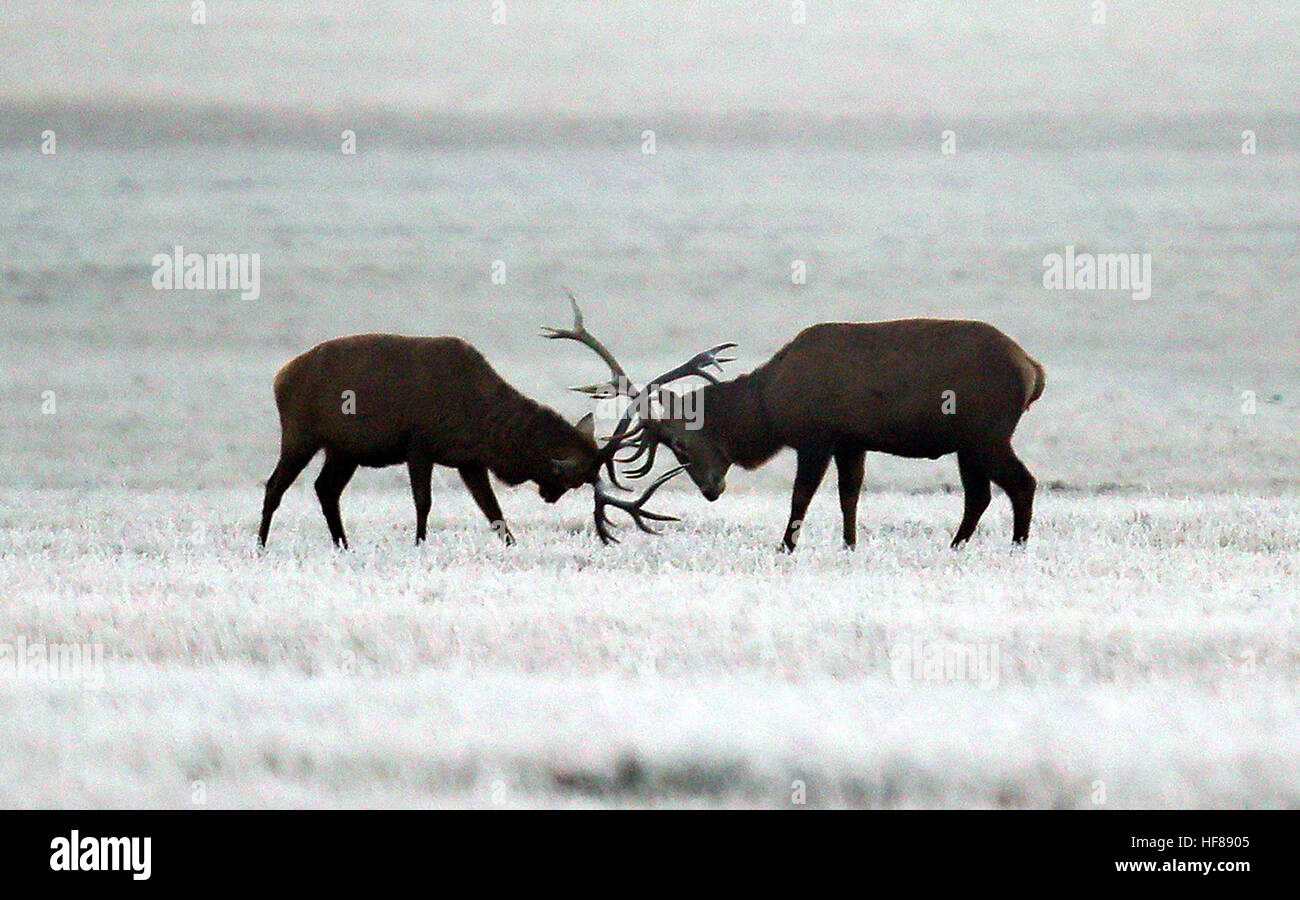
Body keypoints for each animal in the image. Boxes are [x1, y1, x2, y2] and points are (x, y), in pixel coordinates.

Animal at [257, 331, 682, 549]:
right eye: (569, 478)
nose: (549, 496)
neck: (480, 423)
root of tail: (279, 377)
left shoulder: (469, 459)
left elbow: (493, 511)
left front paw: (512, 545)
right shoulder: (419, 445)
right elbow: (424, 502)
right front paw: (420, 544)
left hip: (344, 450)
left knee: (325, 489)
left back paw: (343, 545)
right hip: (299, 434)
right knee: (275, 486)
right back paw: (260, 546)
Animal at [546, 298, 1045, 551]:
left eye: (681, 446)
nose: (711, 490)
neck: (770, 407)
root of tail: (1033, 369)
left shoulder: (816, 437)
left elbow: (801, 496)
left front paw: (785, 546)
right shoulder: (851, 441)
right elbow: (849, 496)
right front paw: (849, 547)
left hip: (987, 432)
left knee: (1022, 483)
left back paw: (1017, 547)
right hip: (970, 442)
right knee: (980, 495)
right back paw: (956, 546)